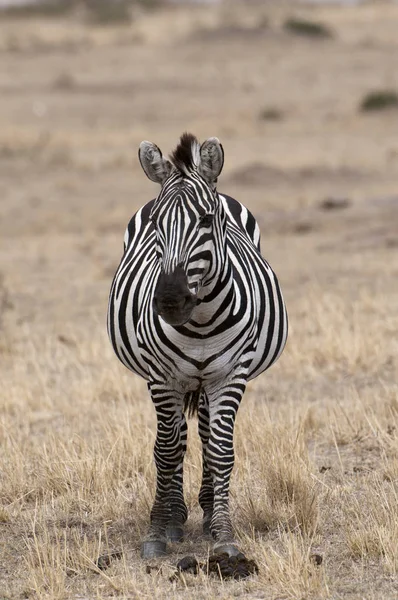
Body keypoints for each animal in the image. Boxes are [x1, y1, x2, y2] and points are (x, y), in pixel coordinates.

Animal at [108, 134, 290, 560]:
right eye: (157, 223)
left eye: (206, 220)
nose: (170, 300)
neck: (202, 322)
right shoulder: (162, 377)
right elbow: (166, 450)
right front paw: (158, 530)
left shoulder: (231, 375)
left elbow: (221, 450)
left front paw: (223, 534)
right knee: (177, 437)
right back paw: (176, 514)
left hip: (209, 381)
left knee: (206, 432)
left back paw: (206, 511)